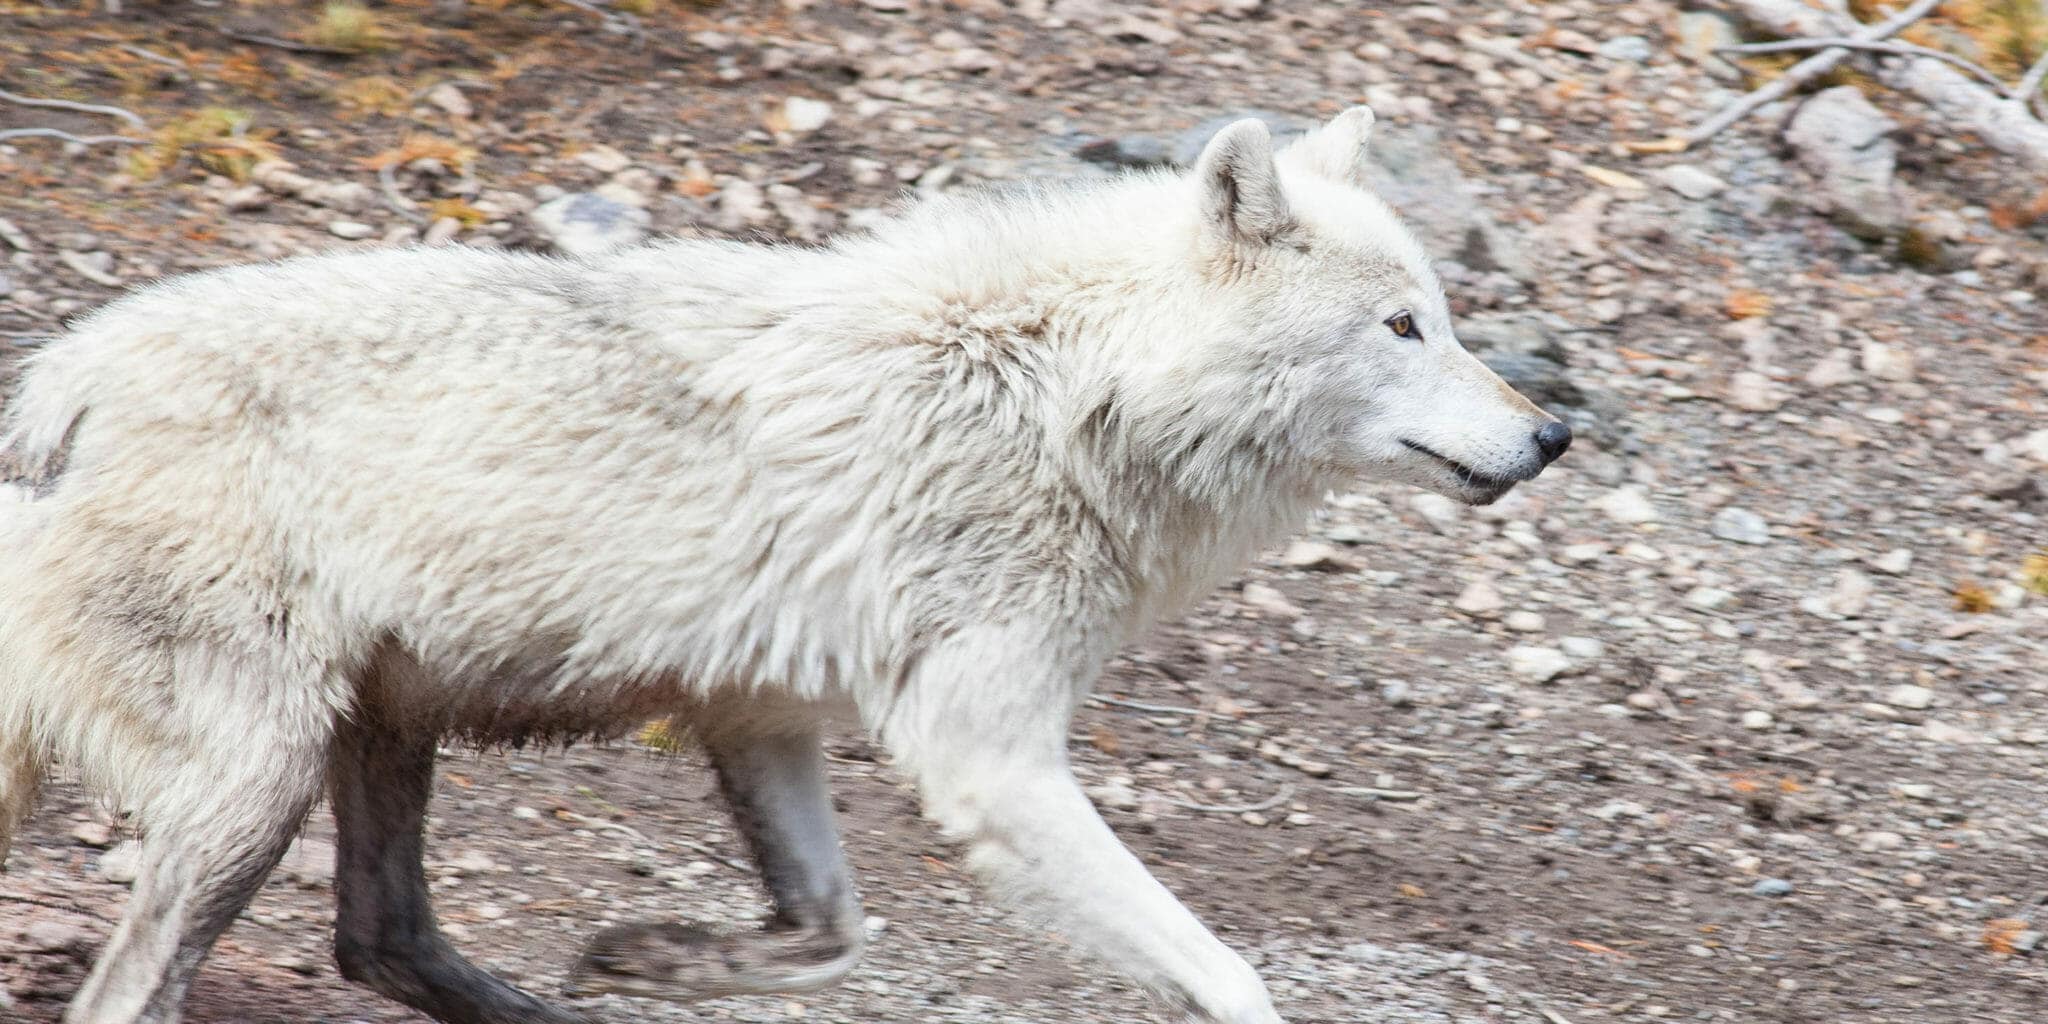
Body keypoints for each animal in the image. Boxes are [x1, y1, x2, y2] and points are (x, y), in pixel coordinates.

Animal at [0, 106, 1568, 1024]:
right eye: (1403, 327)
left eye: (1443, 316)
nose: (1553, 432)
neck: (1067, 396)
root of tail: (64, 380)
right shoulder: (985, 759)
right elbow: (1228, 971)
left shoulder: (762, 714)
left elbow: (832, 928)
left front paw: (659, 959)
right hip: (258, 784)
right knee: (147, 989)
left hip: (381, 729)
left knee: (379, 938)